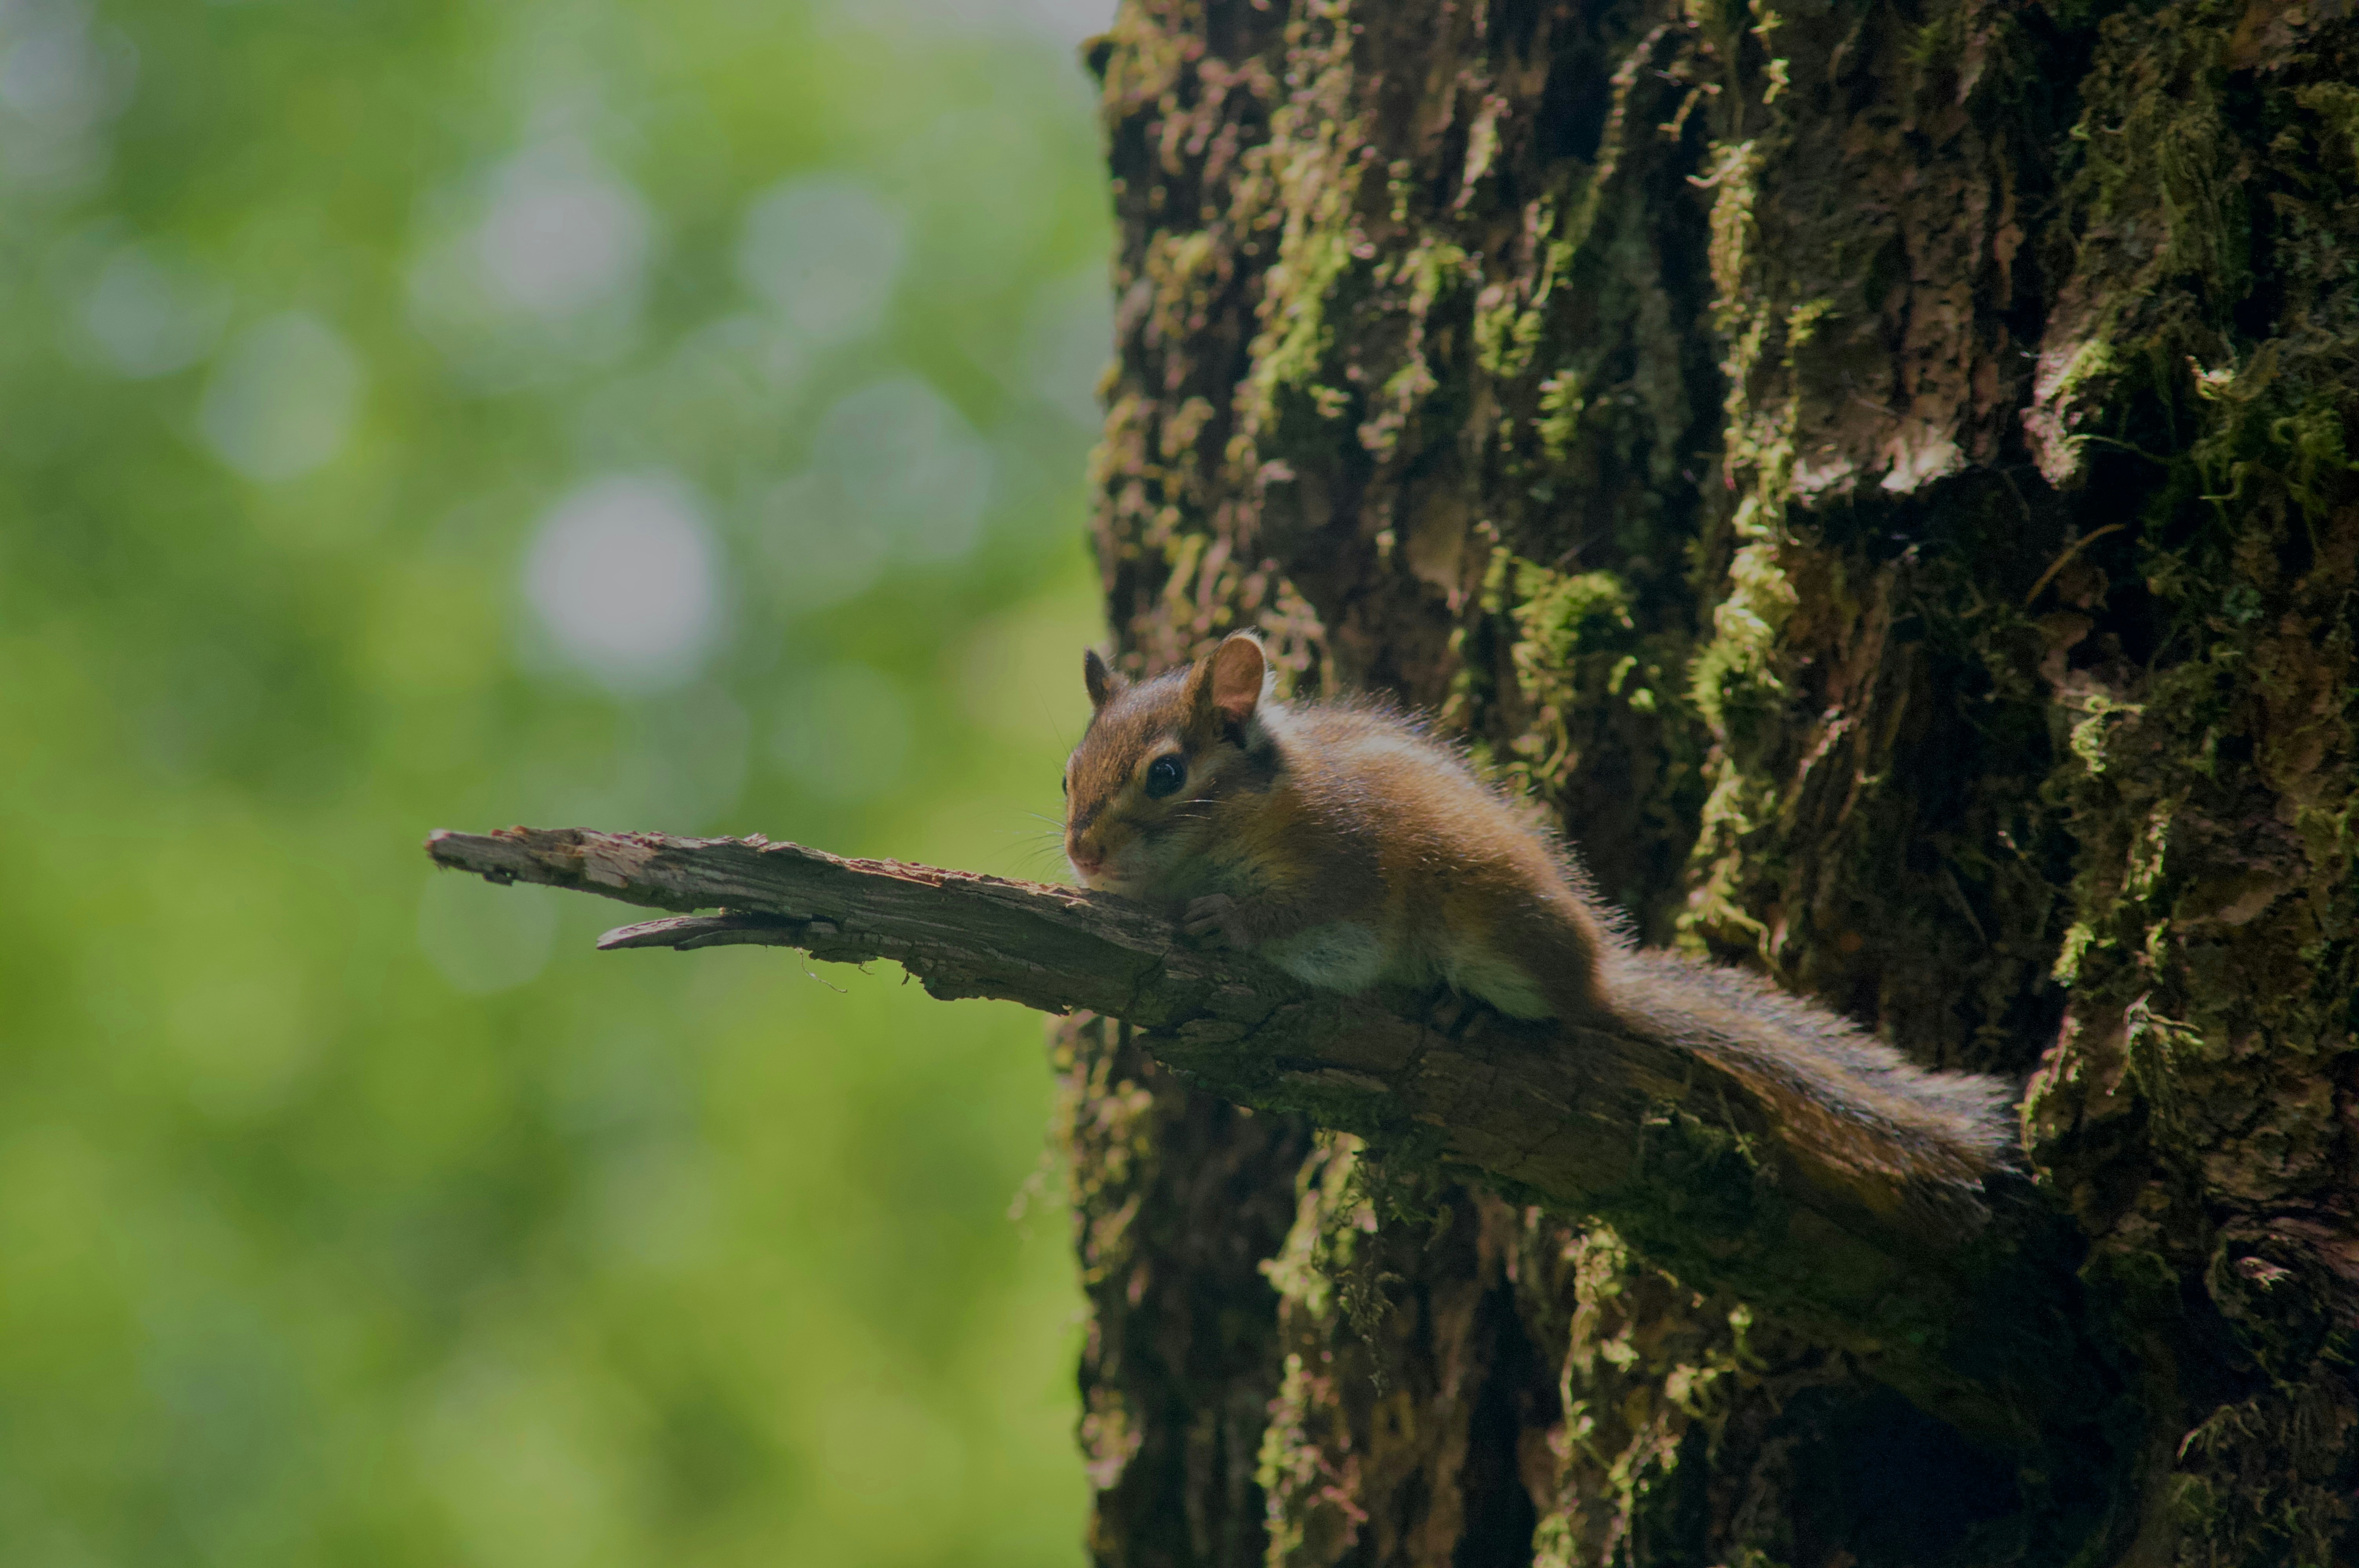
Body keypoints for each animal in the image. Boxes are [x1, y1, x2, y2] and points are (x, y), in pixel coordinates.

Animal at [1061, 630, 2014, 1194]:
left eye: (1166, 775)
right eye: (1069, 771)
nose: (1081, 853)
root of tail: (1602, 974)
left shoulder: (1346, 870)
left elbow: (1305, 921)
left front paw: (1227, 918)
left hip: (1490, 925)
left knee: (1558, 1009)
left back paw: (1469, 1010)